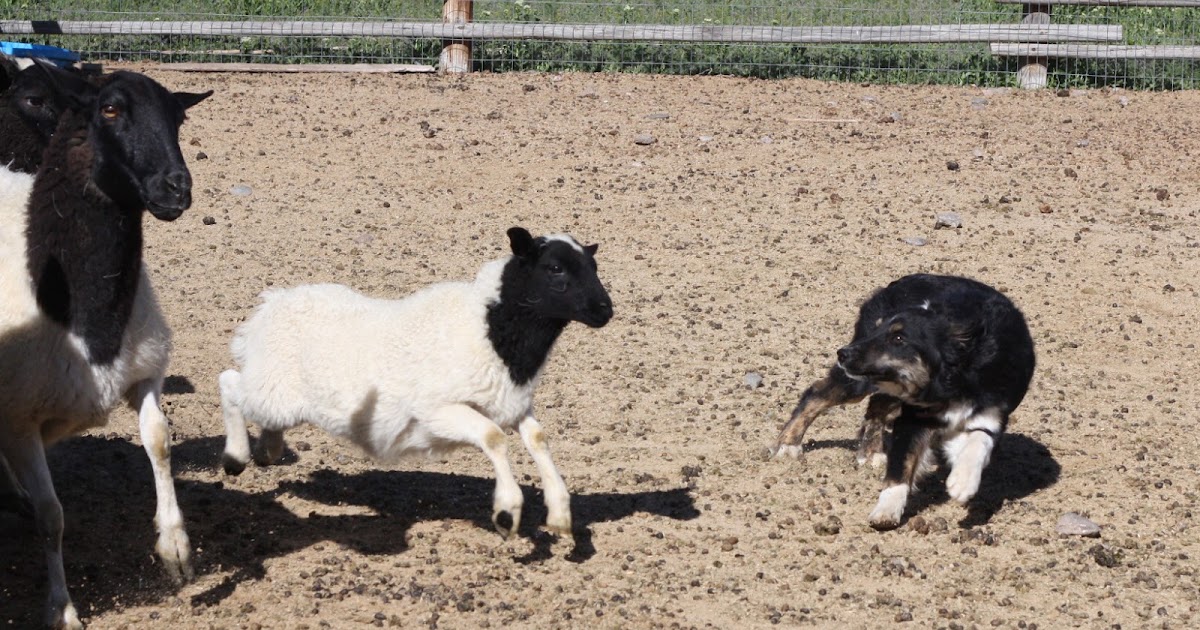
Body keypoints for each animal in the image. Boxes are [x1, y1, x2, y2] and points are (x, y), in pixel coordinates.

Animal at [0, 62, 211, 629]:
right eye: (111, 109)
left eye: (179, 116)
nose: (176, 188)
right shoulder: (20, 420)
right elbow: (52, 517)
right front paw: (62, 608)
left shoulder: (144, 372)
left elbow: (159, 441)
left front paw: (175, 549)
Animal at [220, 227, 613, 540]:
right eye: (555, 268)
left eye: (593, 267)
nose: (605, 310)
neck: (492, 329)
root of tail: (271, 305)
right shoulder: (438, 410)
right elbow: (493, 438)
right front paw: (507, 511)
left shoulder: (510, 403)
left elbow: (538, 438)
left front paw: (560, 514)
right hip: (273, 389)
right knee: (230, 383)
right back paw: (235, 457)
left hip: (277, 392)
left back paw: (267, 451)